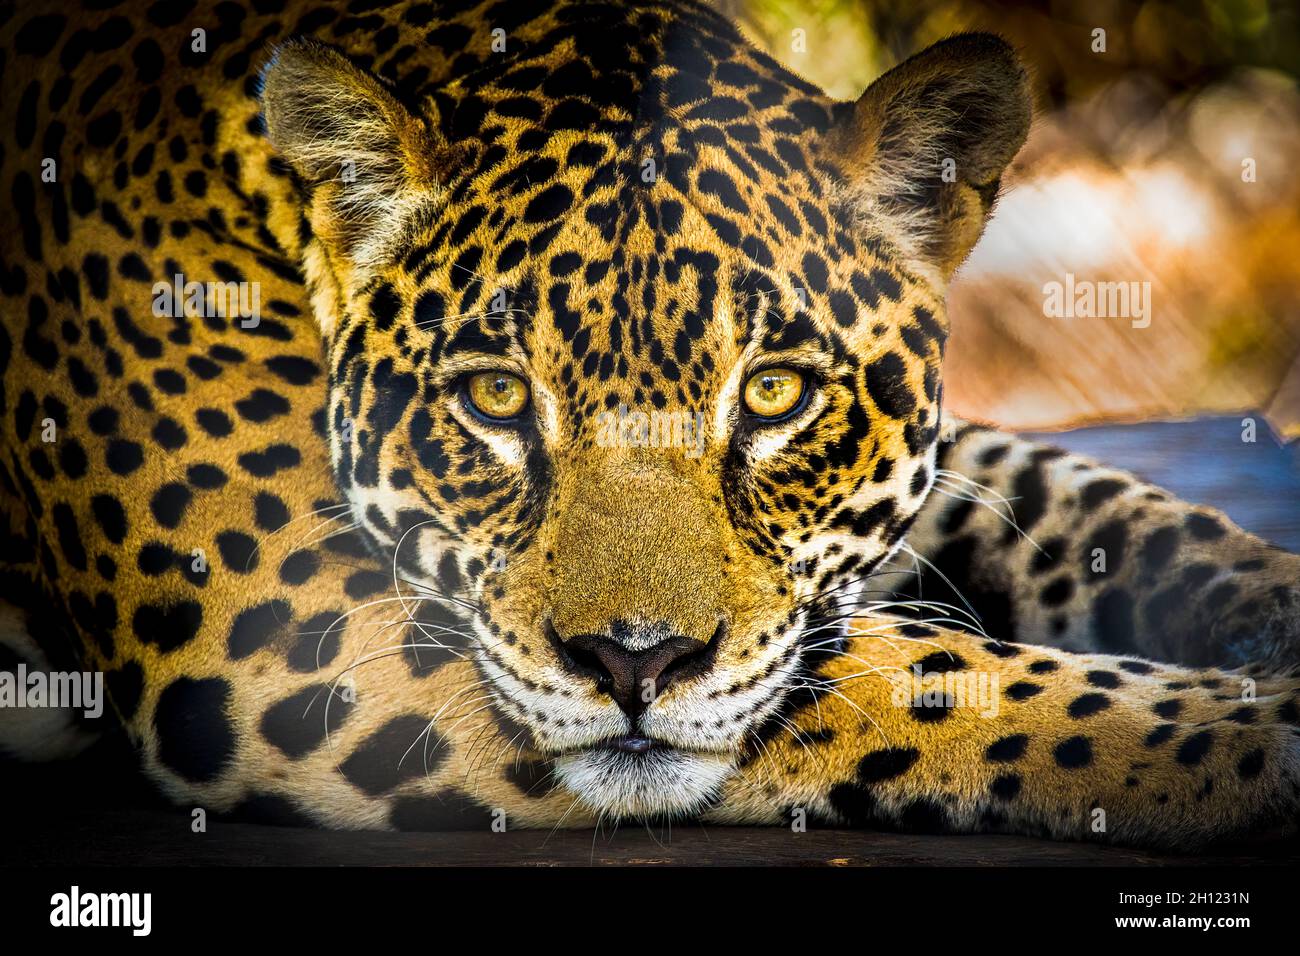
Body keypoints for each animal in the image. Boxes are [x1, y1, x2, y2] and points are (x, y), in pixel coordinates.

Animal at [2, 0, 1299, 850]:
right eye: (495, 396)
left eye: (774, 394)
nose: (636, 662)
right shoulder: (295, 624)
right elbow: (940, 678)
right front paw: (1252, 736)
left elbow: (1081, 500)